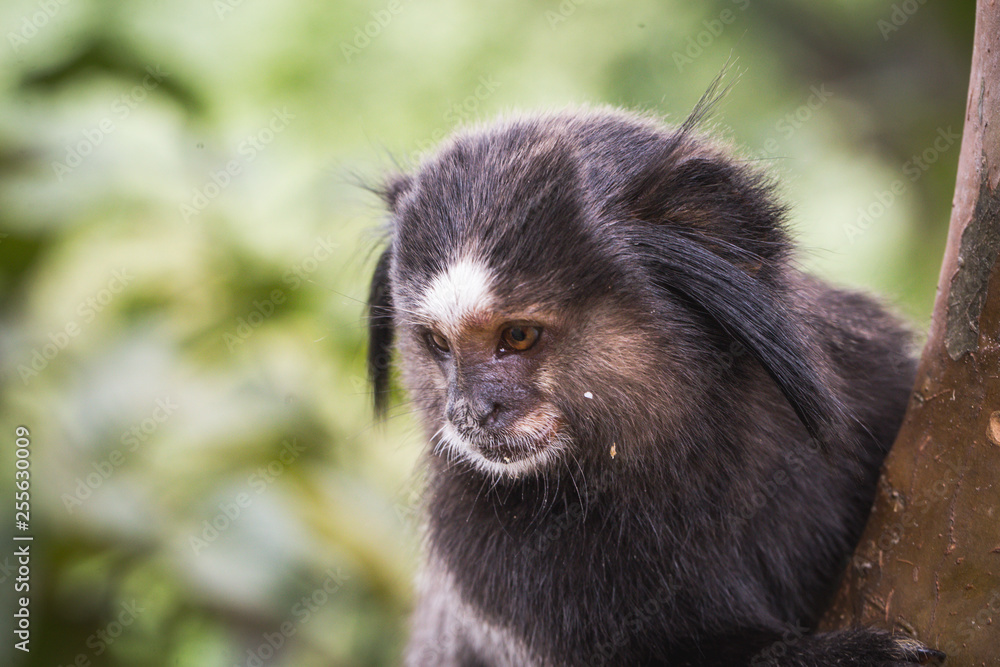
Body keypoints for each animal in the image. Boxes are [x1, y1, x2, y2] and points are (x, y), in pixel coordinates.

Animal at [366, 92, 947, 666]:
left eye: (519, 336)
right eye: (440, 344)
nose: (469, 412)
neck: (690, 452)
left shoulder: (869, 369)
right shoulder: (476, 543)